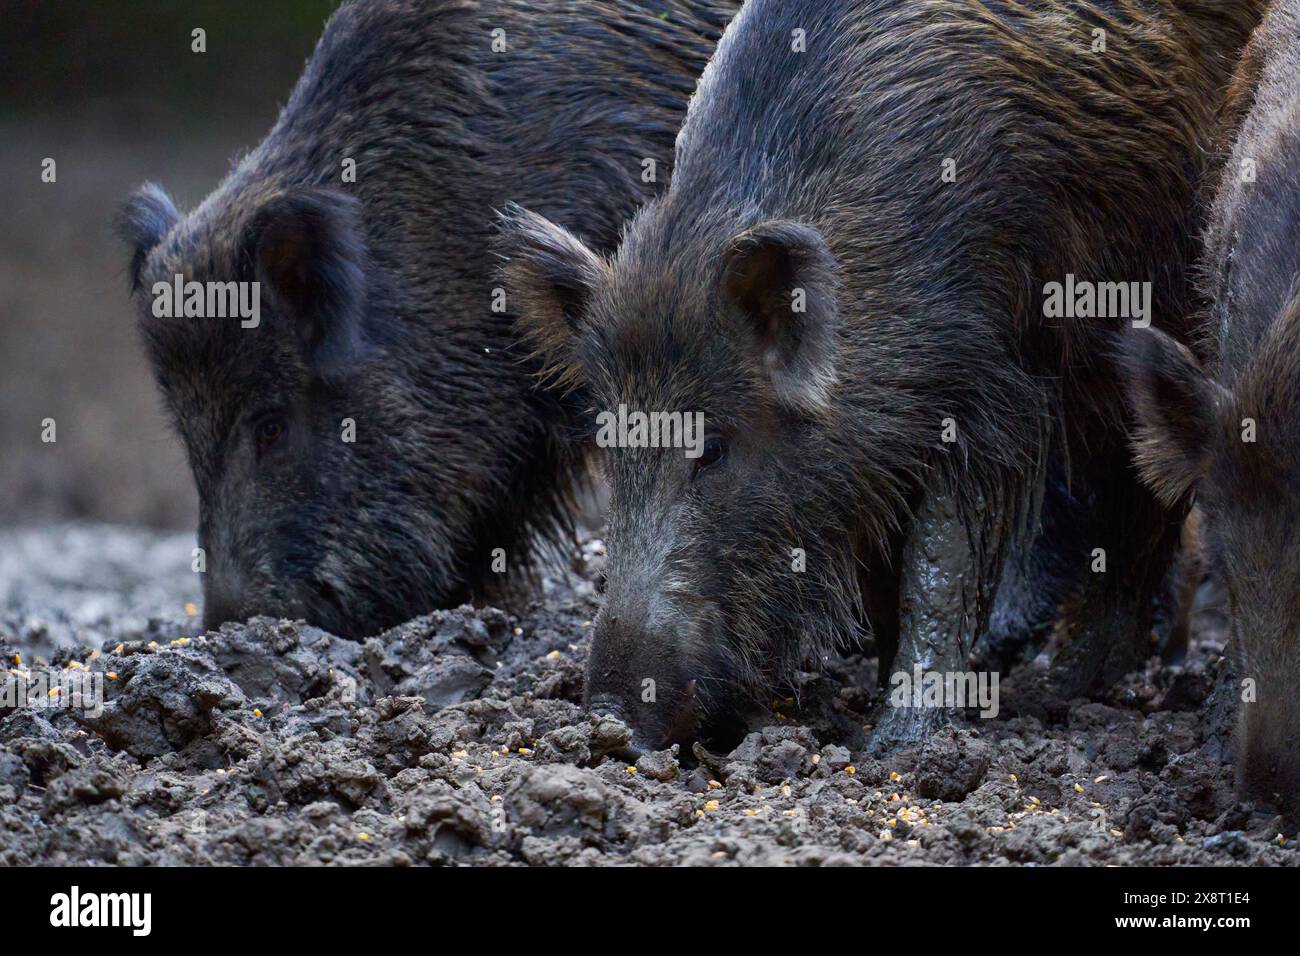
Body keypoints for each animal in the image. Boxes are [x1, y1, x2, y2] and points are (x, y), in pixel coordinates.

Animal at [501, 0, 1264, 753]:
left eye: (711, 449)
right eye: (610, 445)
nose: (611, 721)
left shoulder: (982, 390)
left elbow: (940, 564)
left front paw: (894, 748)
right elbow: (882, 577)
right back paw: (1062, 689)